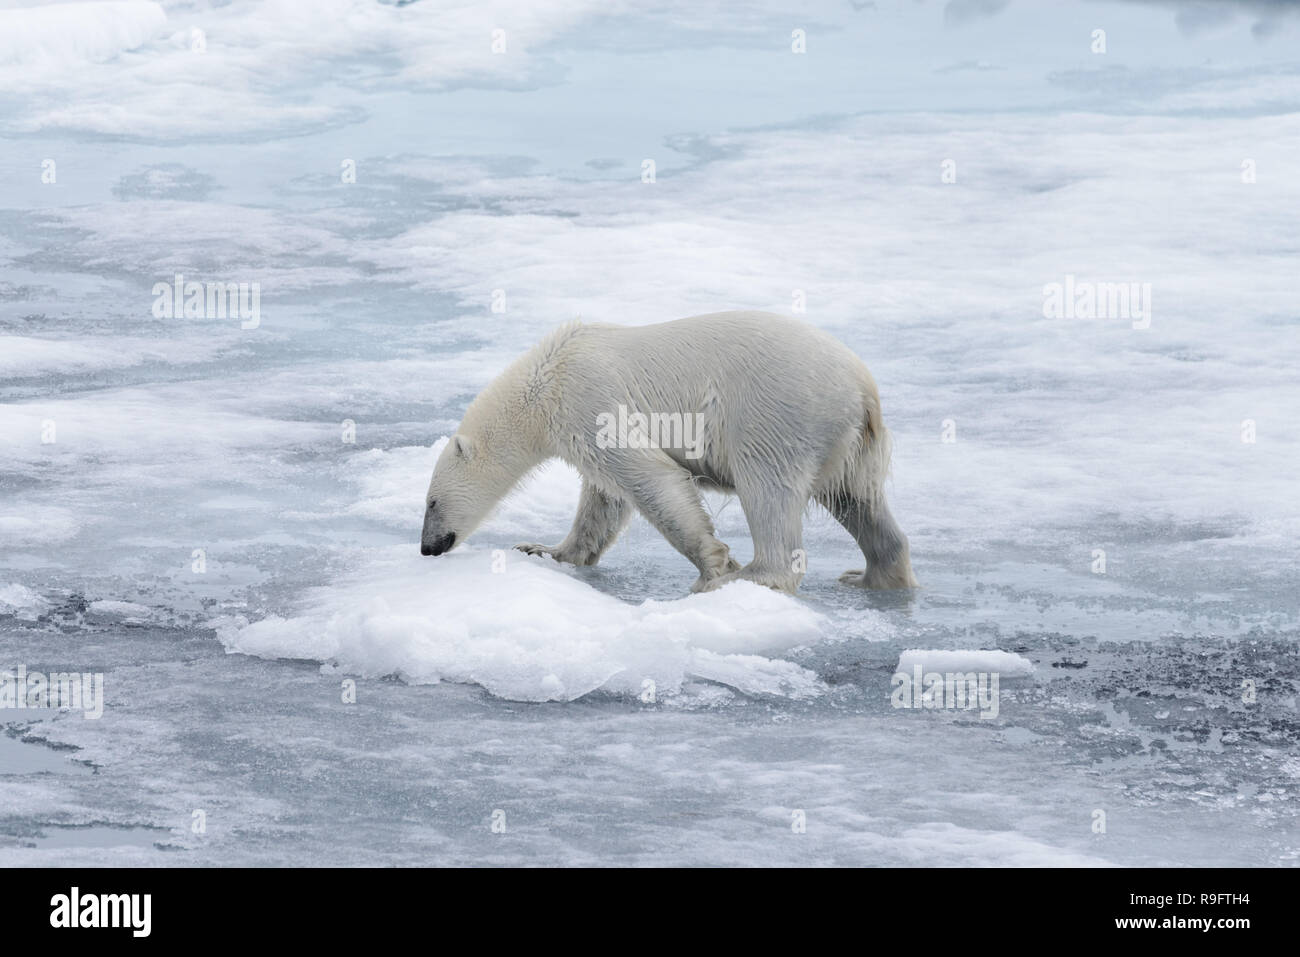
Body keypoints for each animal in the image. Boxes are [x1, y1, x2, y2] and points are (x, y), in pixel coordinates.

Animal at [420, 310, 917, 593]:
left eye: (431, 502)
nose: (427, 547)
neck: (545, 378)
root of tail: (863, 388)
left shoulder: (590, 398)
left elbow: (650, 477)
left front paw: (715, 563)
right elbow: (603, 501)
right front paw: (542, 550)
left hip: (777, 413)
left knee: (769, 488)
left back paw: (747, 575)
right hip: (850, 443)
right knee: (858, 501)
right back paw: (872, 575)